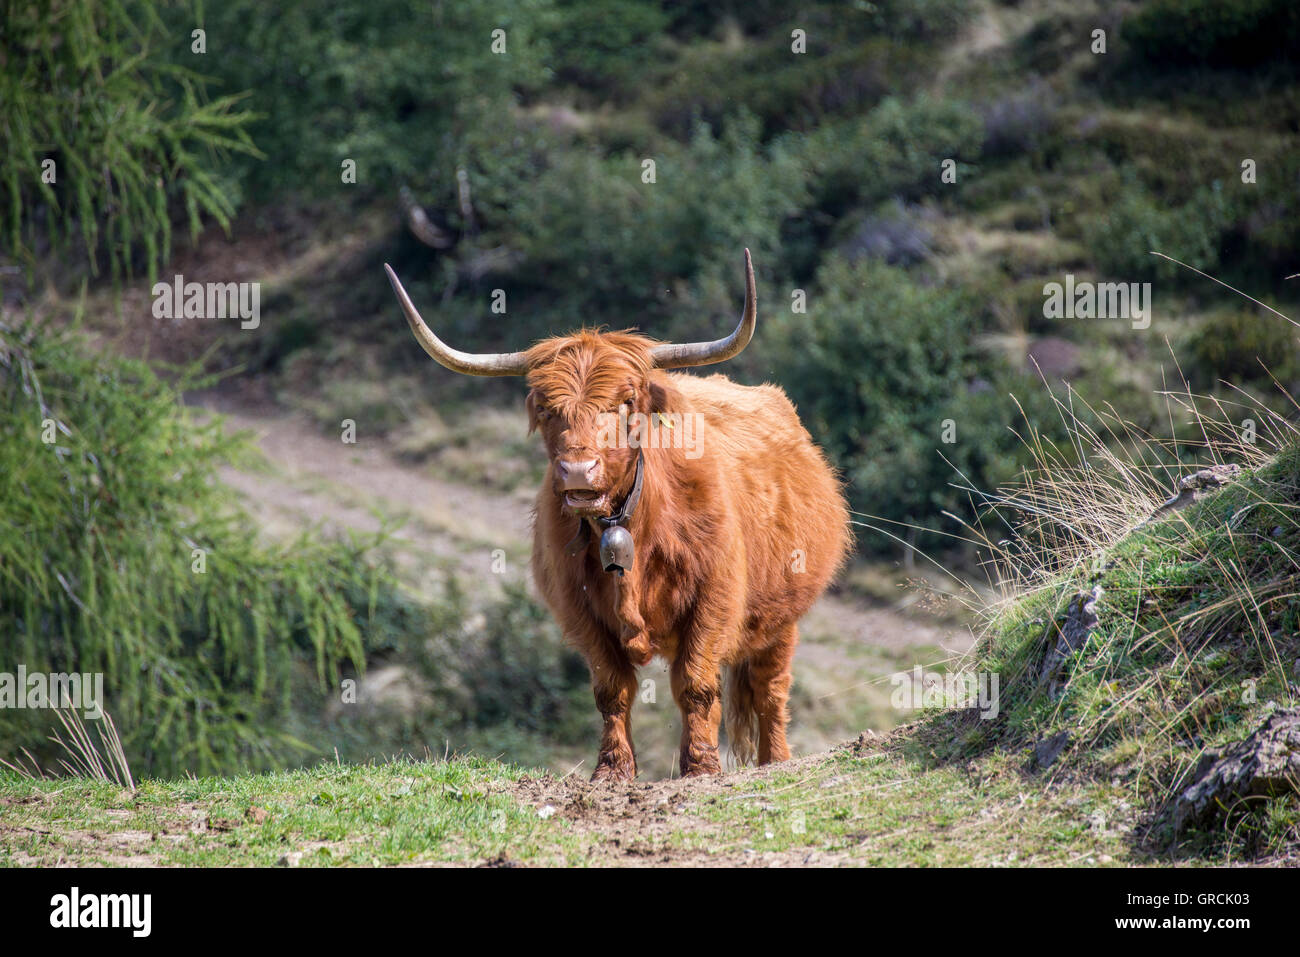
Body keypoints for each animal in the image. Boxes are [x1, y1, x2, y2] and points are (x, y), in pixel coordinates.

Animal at [385, 250, 850, 780]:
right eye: (546, 409)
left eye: (626, 402)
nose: (577, 470)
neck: (629, 526)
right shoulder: (581, 612)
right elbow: (612, 690)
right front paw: (612, 770)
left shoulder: (713, 601)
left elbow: (696, 685)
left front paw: (701, 767)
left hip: (781, 615)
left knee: (770, 689)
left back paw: (776, 761)